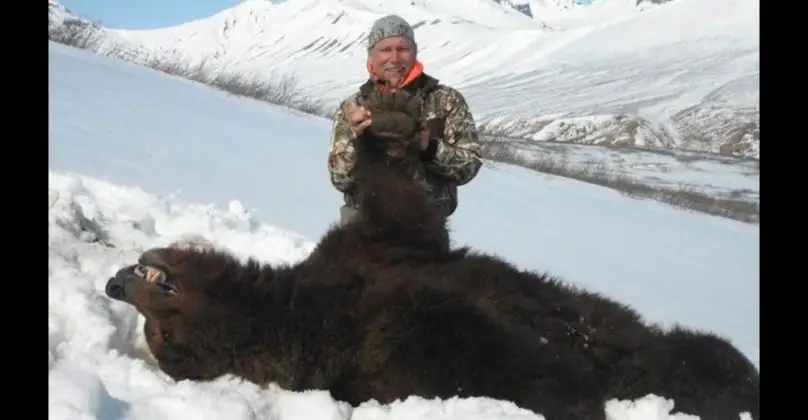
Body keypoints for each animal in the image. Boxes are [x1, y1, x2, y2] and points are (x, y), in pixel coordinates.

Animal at [105, 89, 758, 420]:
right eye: (165, 344)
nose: (114, 282)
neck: (292, 302)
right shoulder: (369, 341)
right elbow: (471, 352)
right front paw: (568, 386)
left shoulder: (379, 244)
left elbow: (396, 198)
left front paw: (378, 124)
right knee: (667, 361)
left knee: (677, 346)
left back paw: (734, 368)